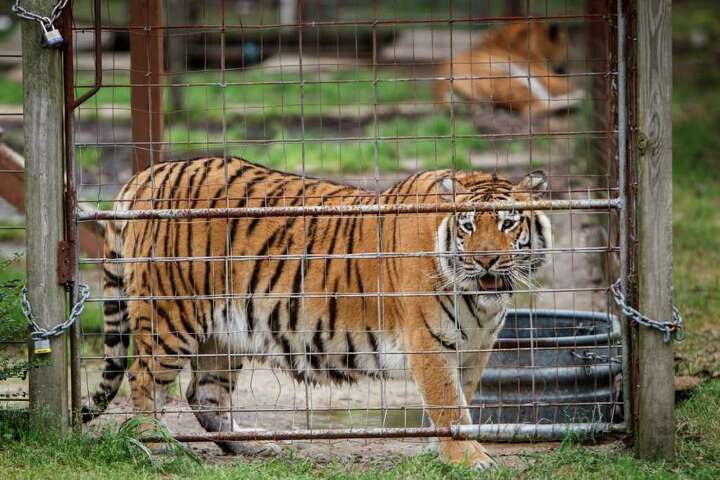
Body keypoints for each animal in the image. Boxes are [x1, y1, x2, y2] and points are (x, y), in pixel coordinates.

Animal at [82, 157, 552, 469]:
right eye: (468, 225)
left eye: (509, 223)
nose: (487, 261)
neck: (479, 301)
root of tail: (147, 174)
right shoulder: (429, 345)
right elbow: (449, 405)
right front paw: (468, 458)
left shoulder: (474, 349)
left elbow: (462, 400)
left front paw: (447, 451)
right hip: (172, 318)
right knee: (145, 381)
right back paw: (154, 445)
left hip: (222, 335)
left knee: (204, 396)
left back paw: (254, 444)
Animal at [433, 21, 583, 115]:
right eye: (565, 45)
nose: (566, 68)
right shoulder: (541, 73)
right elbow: (565, 85)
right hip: (513, 77)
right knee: (533, 108)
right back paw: (578, 98)